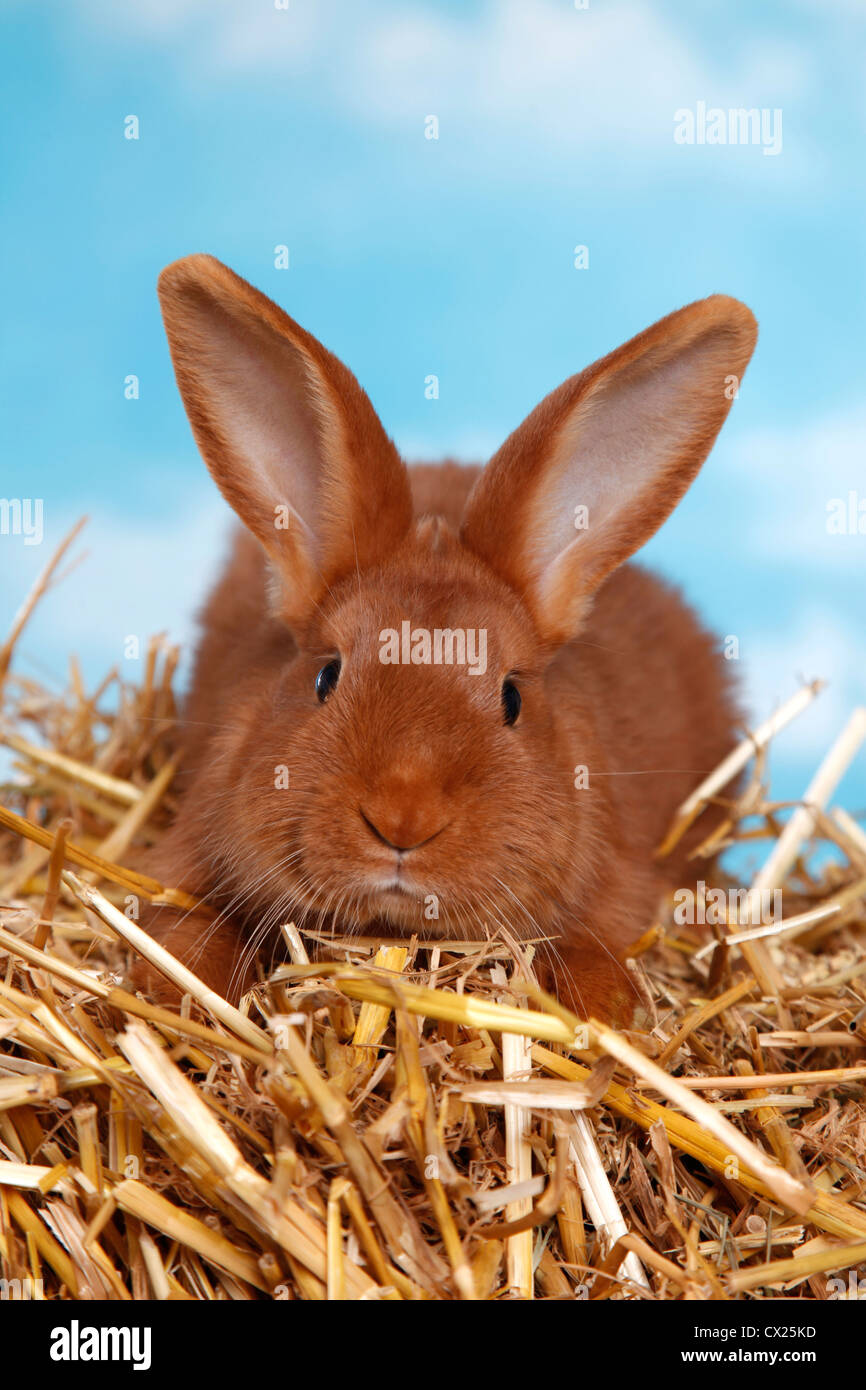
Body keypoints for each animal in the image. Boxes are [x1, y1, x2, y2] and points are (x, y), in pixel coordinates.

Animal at [132, 254, 757, 1024]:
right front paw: (173, 991)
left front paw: (603, 1017)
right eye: (325, 675)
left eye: (512, 698)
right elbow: (185, 935)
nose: (403, 821)